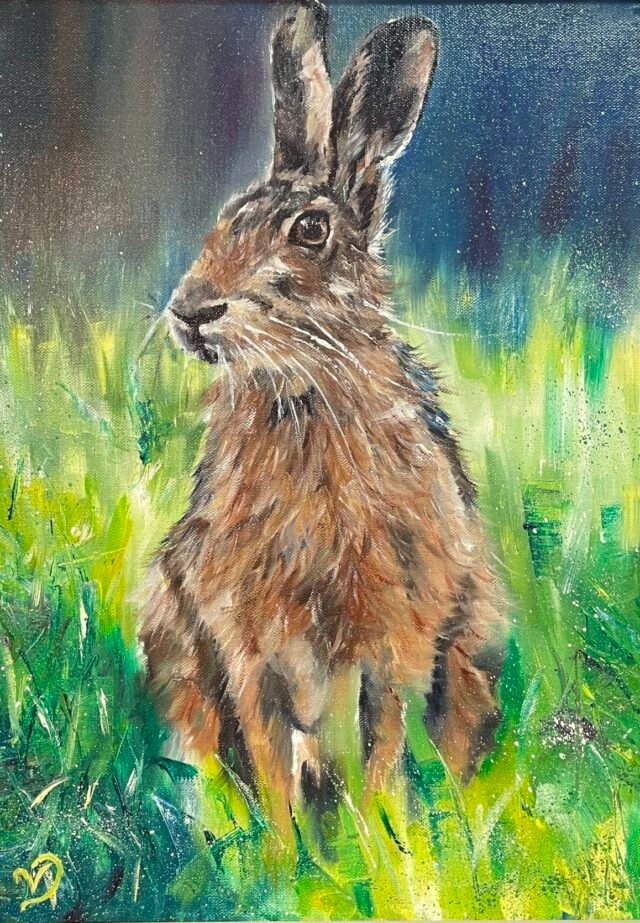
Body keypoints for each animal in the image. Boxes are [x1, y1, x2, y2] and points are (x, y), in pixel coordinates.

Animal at [141, 0, 507, 831]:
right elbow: (269, 755)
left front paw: (383, 844)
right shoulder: (243, 642)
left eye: (311, 230)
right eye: (225, 219)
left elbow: (384, 745)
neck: (302, 392)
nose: (191, 311)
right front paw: (280, 851)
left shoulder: (395, 639)